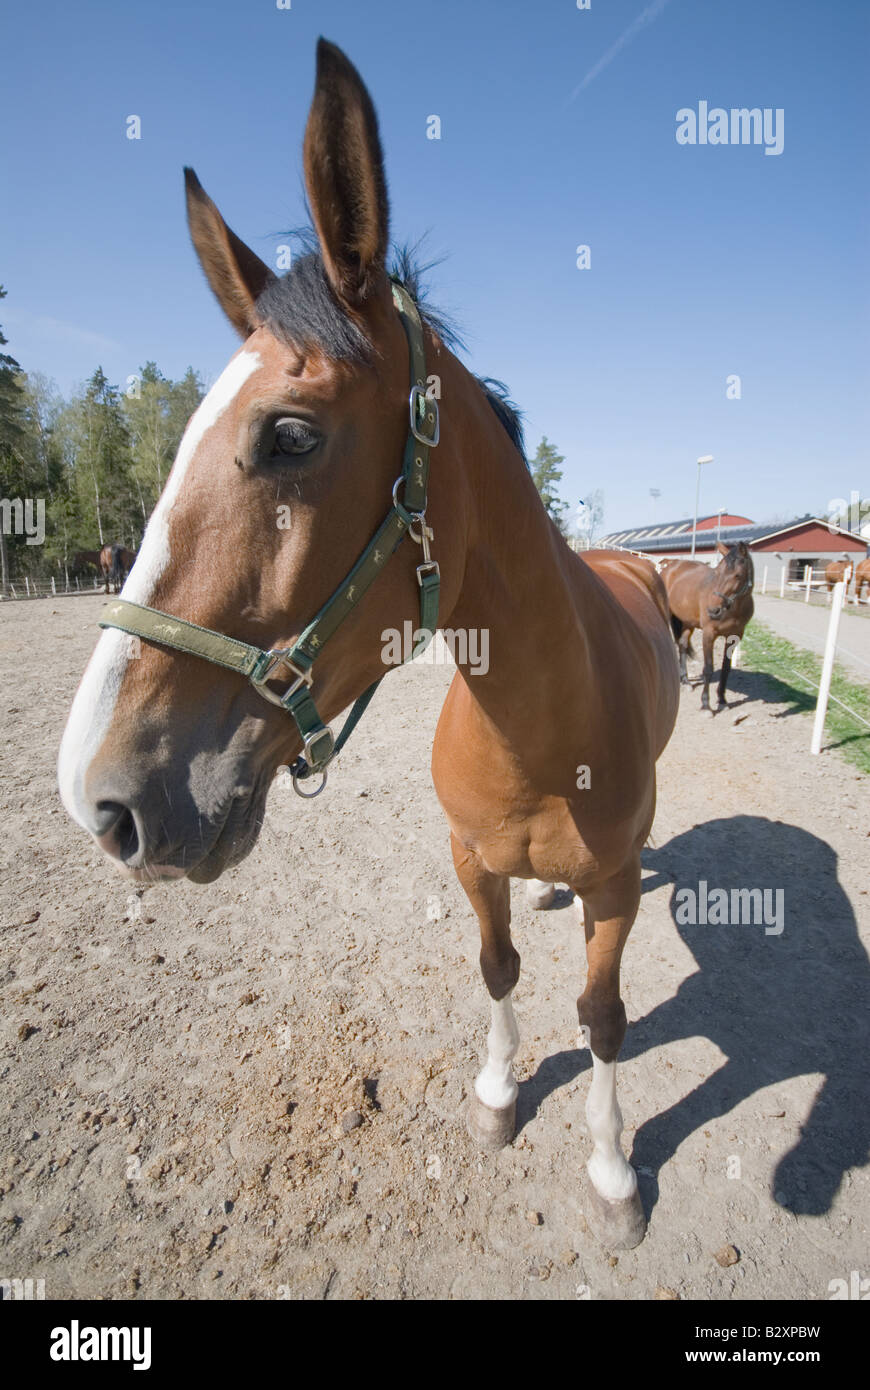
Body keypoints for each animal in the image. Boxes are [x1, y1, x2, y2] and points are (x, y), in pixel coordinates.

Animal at [57, 39, 679, 1251]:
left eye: (290, 435)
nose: (98, 798)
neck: (543, 737)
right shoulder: (471, 861)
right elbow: (497, 965)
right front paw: (496, 1096)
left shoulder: (621, 888)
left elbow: (602, 1014)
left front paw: (613, 1168)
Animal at [661, 541, 754, 713]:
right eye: (717, 572)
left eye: (738, 575)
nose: (712, 610)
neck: (733, 609)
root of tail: (670, 566)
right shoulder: (709, 635)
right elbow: (708, 668)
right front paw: (706, 705)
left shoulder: (734, 636)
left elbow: (725, 669)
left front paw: (722, 700)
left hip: (688, 622)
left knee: (682, 645)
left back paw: (685, 681)